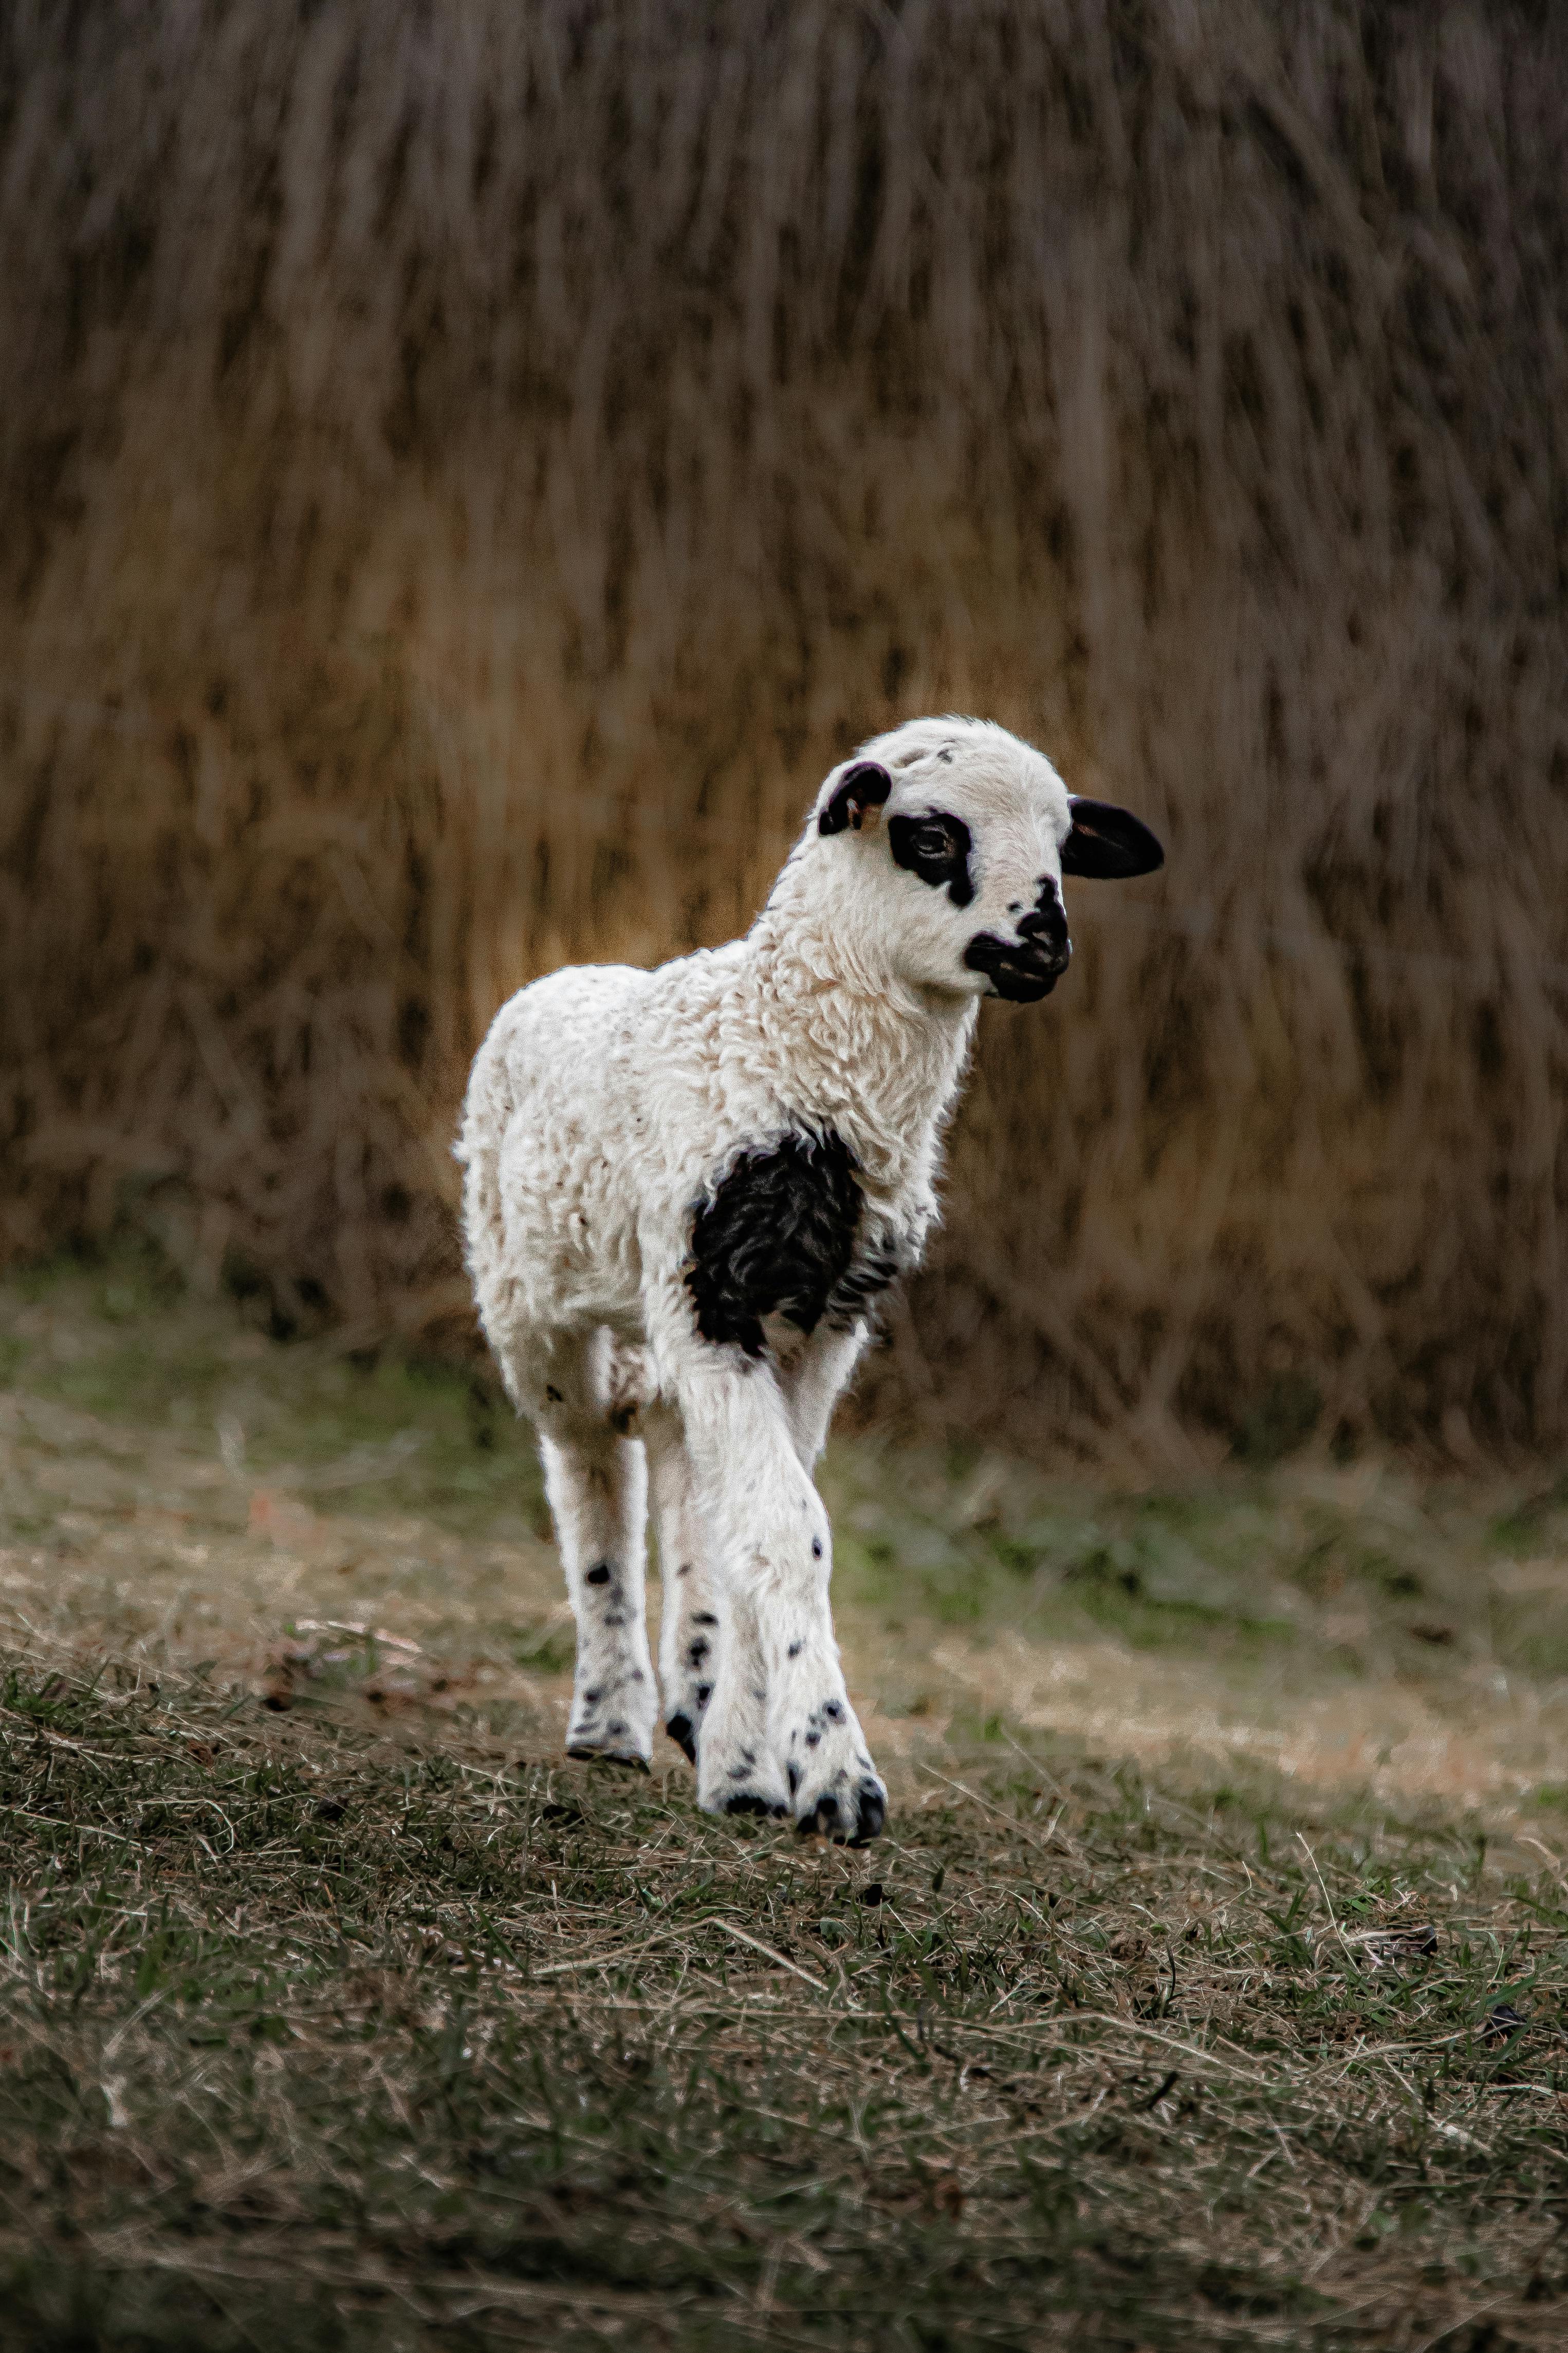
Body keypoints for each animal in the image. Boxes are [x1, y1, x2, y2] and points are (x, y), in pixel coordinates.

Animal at [456, 716, 1163, 1843]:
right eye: (930, 835)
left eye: (1064, 843)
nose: (1045, 943)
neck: (789, 1051)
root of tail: (567, 973)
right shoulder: (712, 1296)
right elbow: (786, 1527)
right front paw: (836, 1776)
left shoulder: (826, 1322)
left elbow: (758, 1527)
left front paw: (754, 1762)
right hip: (531, 1300)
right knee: (590, 1471)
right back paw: (609, 1716)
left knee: (683, 1476)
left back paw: (698, 1711)